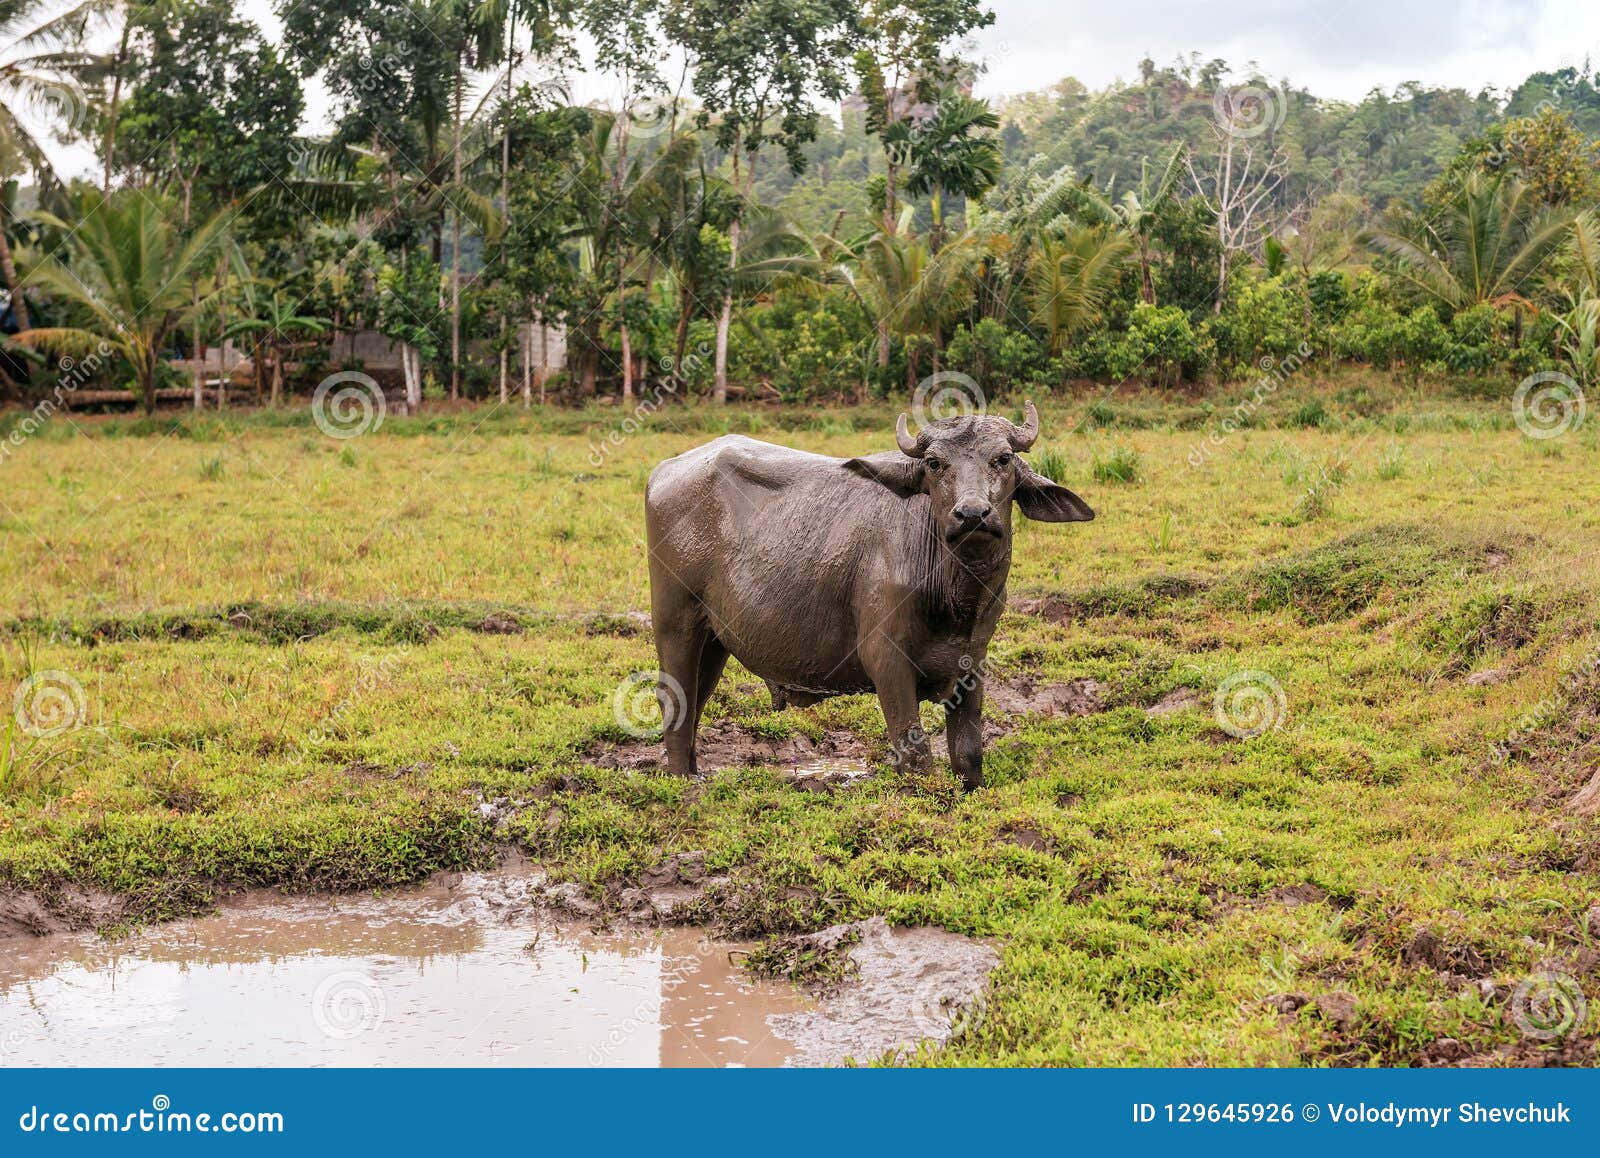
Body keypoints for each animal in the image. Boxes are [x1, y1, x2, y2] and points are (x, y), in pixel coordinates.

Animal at [643, 402, 1093, 788]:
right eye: (934, 463)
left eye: (1002, 458)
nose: (971, 514)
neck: (955, 598)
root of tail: (664, 471)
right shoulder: (886, 660)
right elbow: (916, 753)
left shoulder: (973, 663)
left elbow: (968, 752)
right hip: (675, 623)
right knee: (675, 704)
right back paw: (682, 781)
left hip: (714, 638)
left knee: (695, 702)